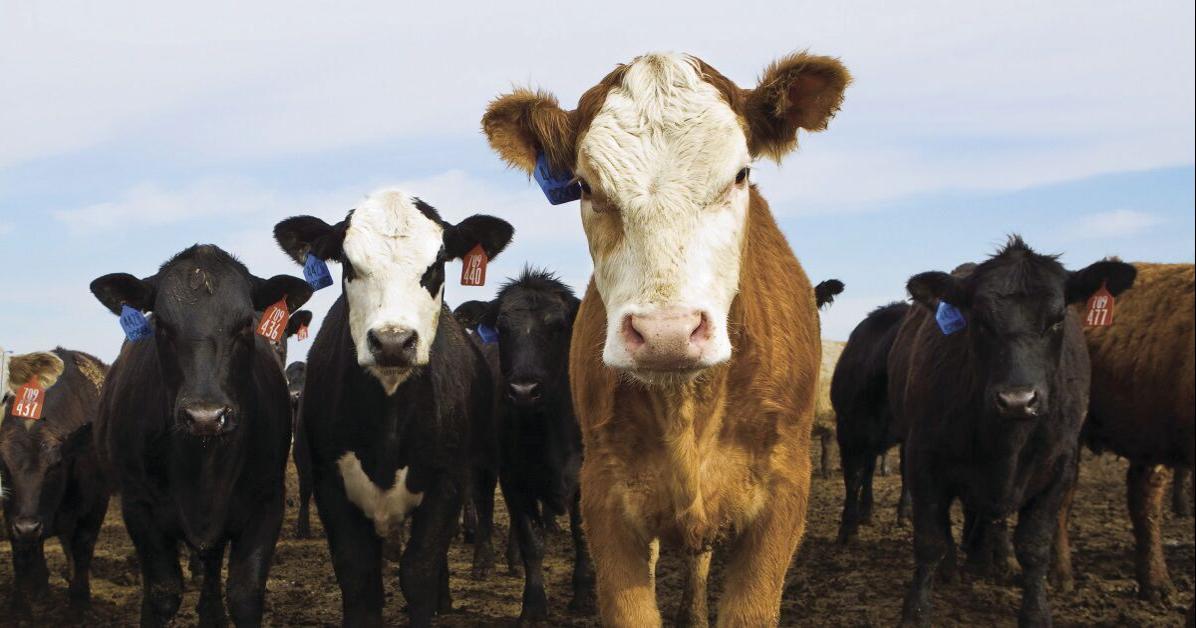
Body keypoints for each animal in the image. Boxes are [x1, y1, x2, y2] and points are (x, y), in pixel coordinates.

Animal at [1, 348, 108, 617]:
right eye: (4, 464)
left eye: (56, 465)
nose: (28, 526)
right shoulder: (12, 514)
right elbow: (21, 555)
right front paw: (21, 606)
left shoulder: (96, 504)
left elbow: (82, 547)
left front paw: (80, 603)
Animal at [89, 244, 312, 627]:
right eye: (161, 323)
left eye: (246, 324)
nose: (206, 417)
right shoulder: (139, 505)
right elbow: (162, 592)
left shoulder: (267, 501)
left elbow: (245, 593)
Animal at [272, 188, 513, 627]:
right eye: (349, 262)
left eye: (436, 264)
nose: (393, 342)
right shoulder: (330, 483)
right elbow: (358, 577)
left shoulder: (448, 481)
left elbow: (420, 570)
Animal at [470, 267, 594, 622]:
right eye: (502, 328)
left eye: (558, 327)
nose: (524, 390)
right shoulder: (514, 477)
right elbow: (531, 540)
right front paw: (534, 606)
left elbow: (582, 533)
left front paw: (584, 596)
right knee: (483, 503)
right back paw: (483, 561)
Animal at [889, 236, 1135, 627]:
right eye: (979, 319)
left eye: (1057, 319)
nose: (1017, 400)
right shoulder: (922, 457)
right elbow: (930, 539)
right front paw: (916, 611)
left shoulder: (1061, 465)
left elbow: (1034, 546)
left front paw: (1035, 612)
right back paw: (958, 566)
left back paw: (993, 561)